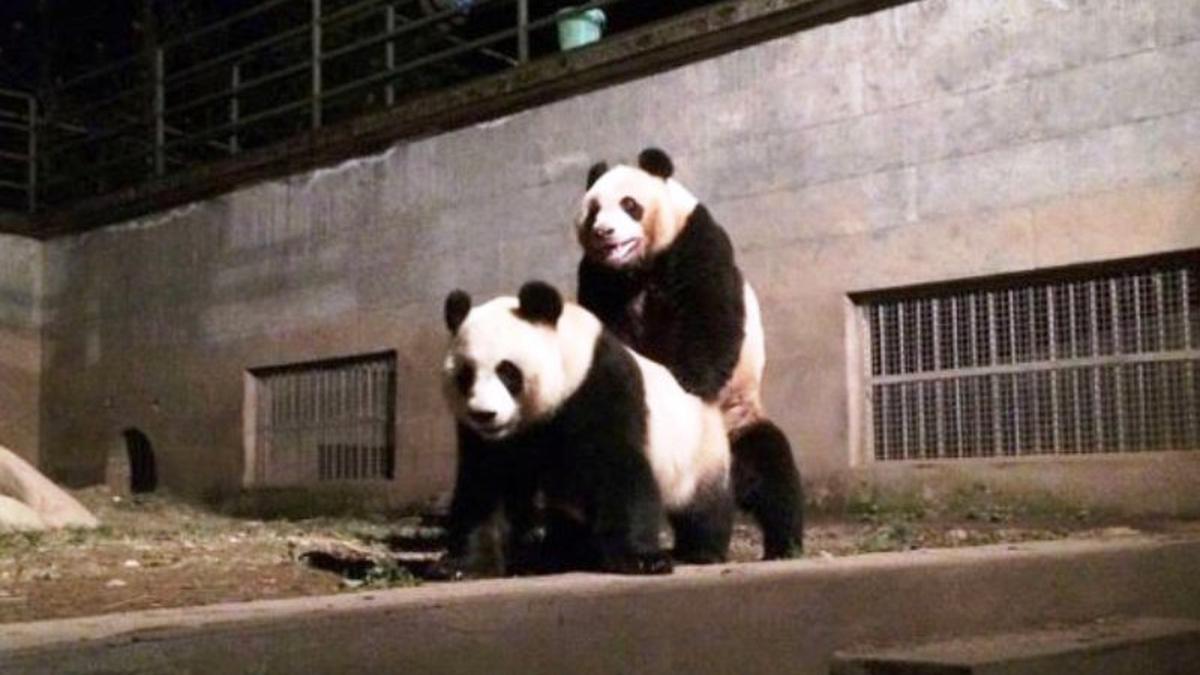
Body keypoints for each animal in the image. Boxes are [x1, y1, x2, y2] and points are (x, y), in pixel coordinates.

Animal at [436, 280, 734, 578]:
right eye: (466, 376)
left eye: (508, 372)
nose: (484, 414)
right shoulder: (488, 439)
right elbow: (485, 485)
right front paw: (461, 566)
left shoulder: (599, 384)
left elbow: (618, 468)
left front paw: (641, 559)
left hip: (698, 451)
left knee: (702, 506)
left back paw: (700, 551)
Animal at [575, 147, 804, 559]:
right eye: (593, 210)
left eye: (629, 205)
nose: (603, 233)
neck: (637, 266)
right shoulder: (599, 276)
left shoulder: (696, 242)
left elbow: (709, 312)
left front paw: (688, 379)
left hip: (734, 421)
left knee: (769, 468)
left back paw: (780, 545)